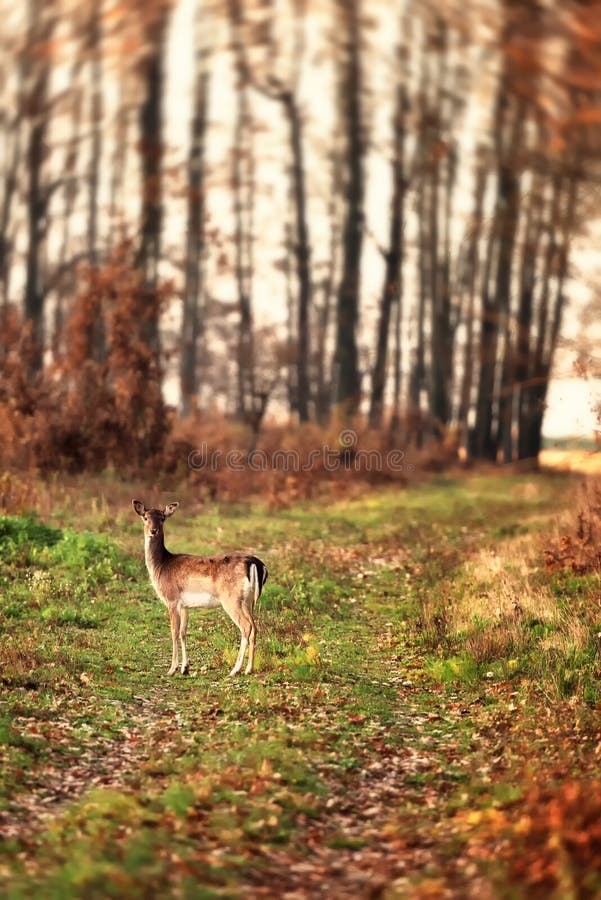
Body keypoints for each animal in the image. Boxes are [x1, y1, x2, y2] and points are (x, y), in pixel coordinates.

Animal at [132, 500, 268, 677]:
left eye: (162, 518)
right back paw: (249, 669)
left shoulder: (172, 599)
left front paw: (172, 669)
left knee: (246, 627)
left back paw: (235, 670)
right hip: (248, 601)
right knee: (255, 627)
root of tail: (256, 564)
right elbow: (183, 632)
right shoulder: (185, 605)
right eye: (145, 517)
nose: (153, 531)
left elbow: (174, 632)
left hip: (231, 599)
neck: (161, 567)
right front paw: (185, 668)